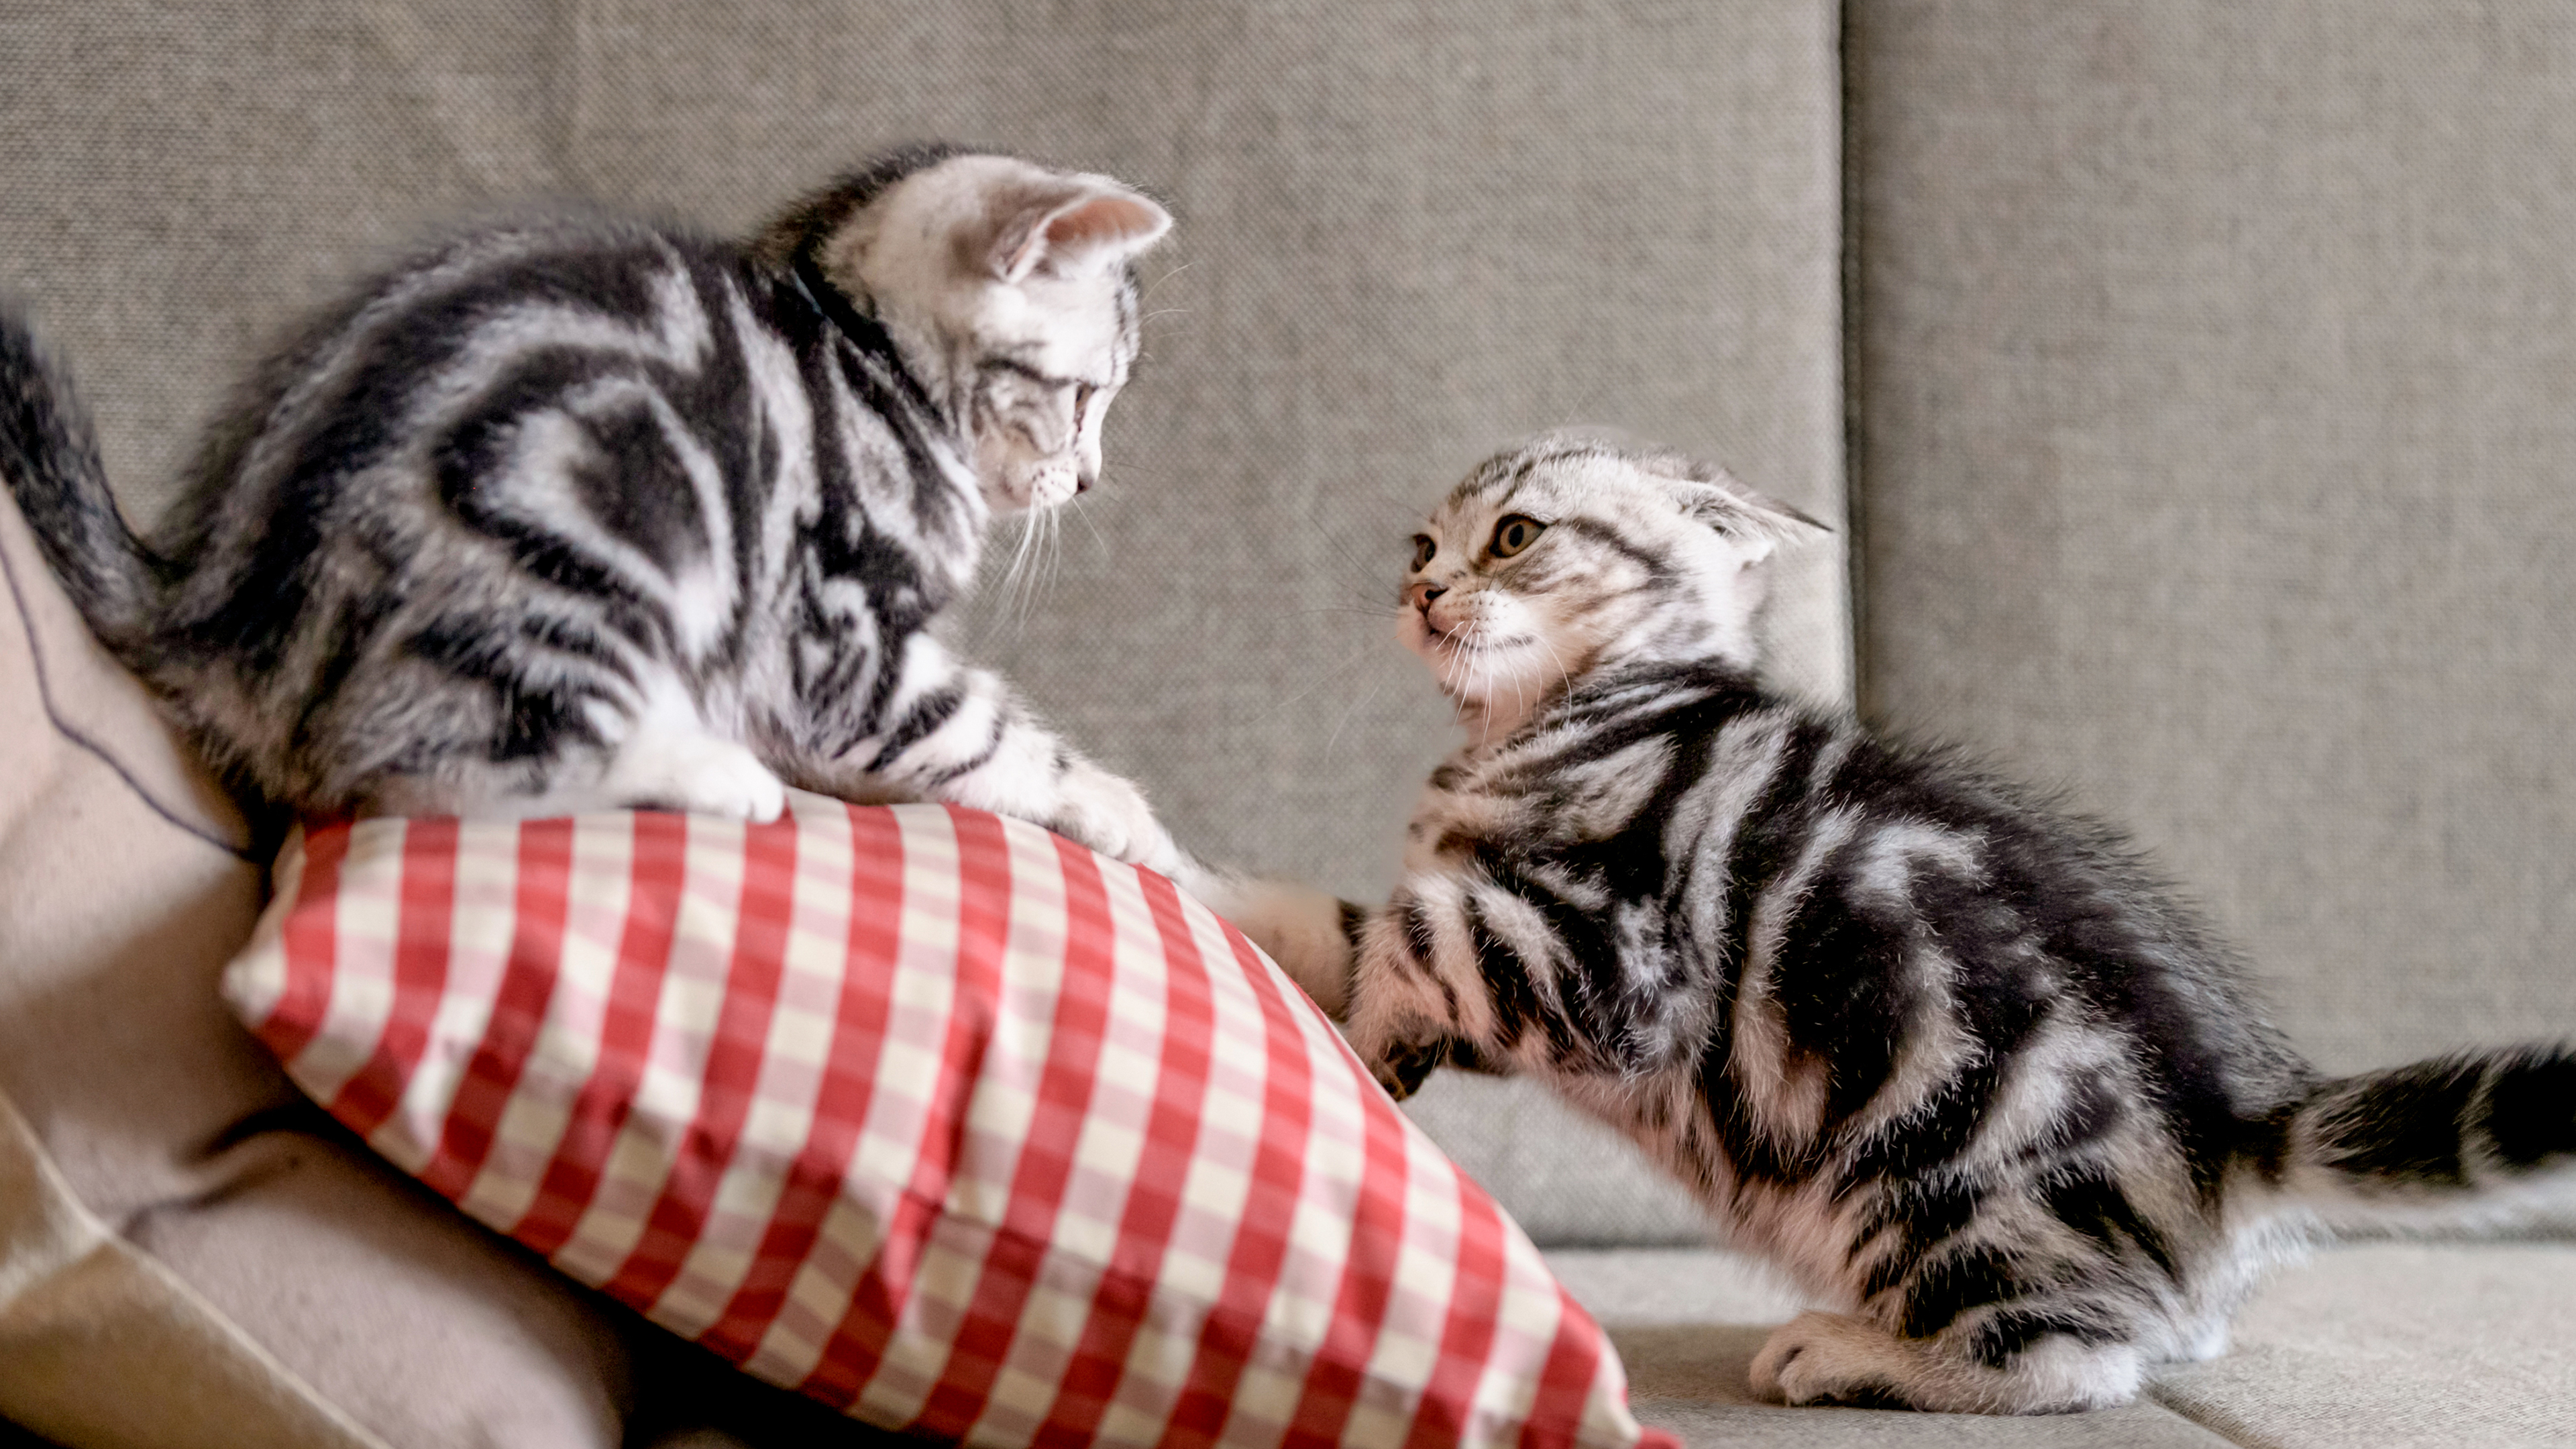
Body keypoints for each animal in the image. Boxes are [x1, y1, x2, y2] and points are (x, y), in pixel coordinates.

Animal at [0, 144, 1185, 866]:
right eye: (1088, 398)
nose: (1087, 479)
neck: (867, 360)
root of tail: (210, 604)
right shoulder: (834, 630)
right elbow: (980, 729)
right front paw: (1121, 811)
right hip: (591, 539)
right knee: (422, 770)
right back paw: (705, 771)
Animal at [1210, 430, 2576, 1413]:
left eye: (1513, 535)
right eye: (1420, 543)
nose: (1423, 590)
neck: (1572, 718)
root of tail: (2240, 1129)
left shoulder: (1614, 964)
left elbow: (1419, 921)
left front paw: (1368, 1028)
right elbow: (1354, 916)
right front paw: (1203, 879)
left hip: (1939, 1185)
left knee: (2077, 1362)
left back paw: (1855, 1354)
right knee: (2155, 1336)